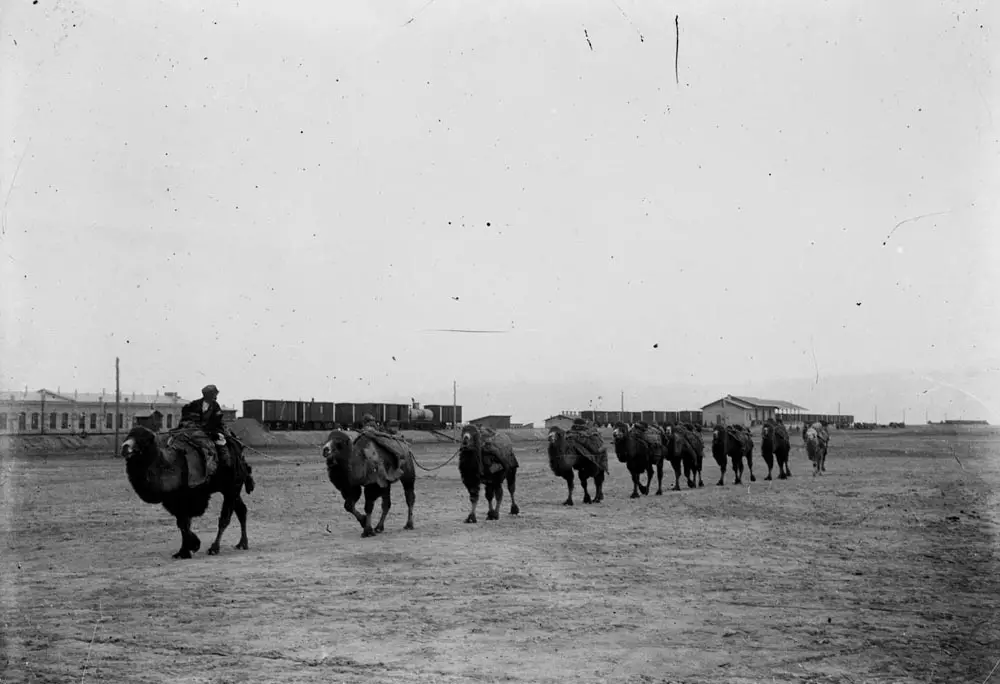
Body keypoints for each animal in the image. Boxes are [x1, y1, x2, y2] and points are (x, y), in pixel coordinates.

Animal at [121, 424, 256, 560]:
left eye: (144, 440)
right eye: (128, 436)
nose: (125, 447)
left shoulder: (188, 498)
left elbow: (184, 523)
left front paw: (193, 546)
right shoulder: (173, 501)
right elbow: (183, 524)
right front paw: (184, 551)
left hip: (231, 487)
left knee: (225, 518)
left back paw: (214, 548)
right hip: (230, 489)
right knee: (241, 510)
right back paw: (242, 543)